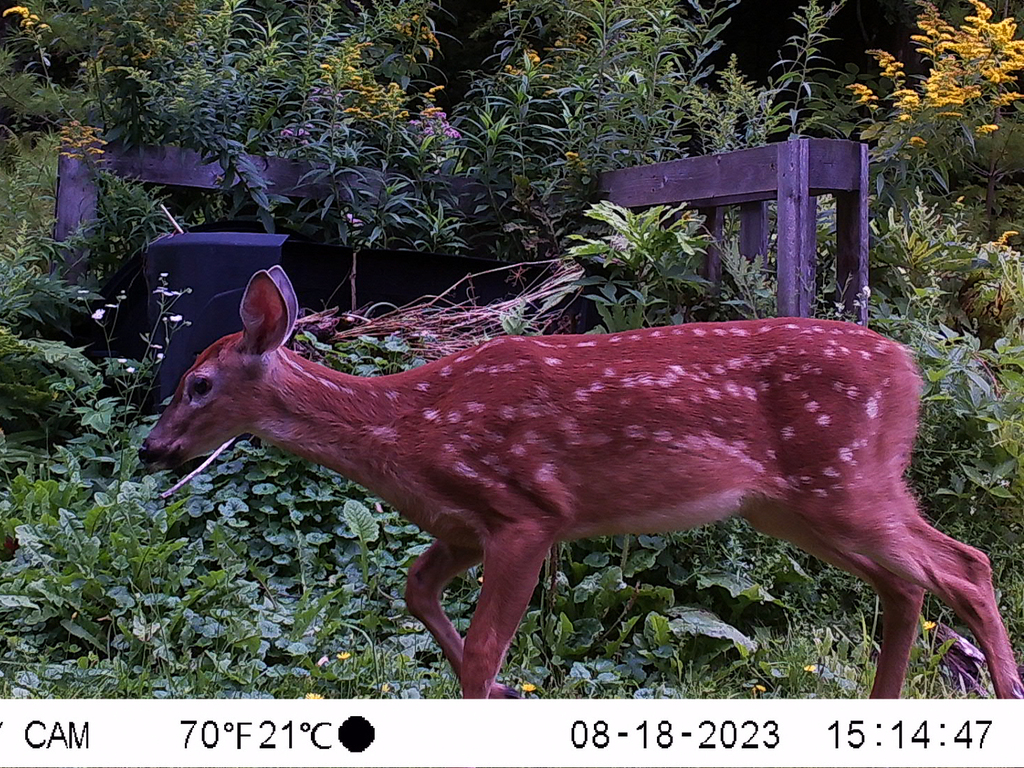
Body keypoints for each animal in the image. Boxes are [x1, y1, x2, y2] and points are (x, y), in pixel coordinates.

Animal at [139, 266, 1024, 700]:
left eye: (198, 384)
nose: (152, 449)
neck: (407, 426)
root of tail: (909, 368)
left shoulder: (526, 511)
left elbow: (484, 650)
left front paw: (492, 692)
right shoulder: (463, 526)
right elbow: (417, 591)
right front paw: (508, 695)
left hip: (844, 482)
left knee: (962, 564)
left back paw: (1004, 688)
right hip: (799, 506)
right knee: (910, 581)